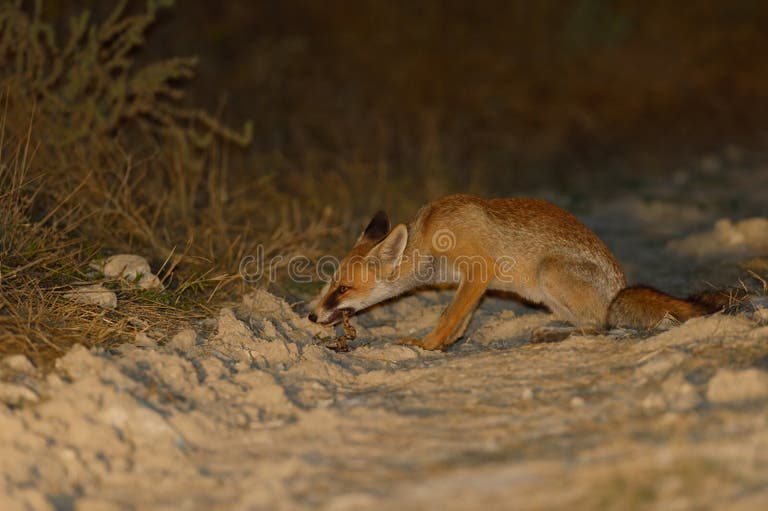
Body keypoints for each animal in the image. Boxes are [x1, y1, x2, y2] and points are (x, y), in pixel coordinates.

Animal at [308, 194, 732, 350]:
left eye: (343, 289)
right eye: (328, 284)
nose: (310, 315)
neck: (429, 235)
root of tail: (619, 289)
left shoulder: (478, 270)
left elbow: (449, 315)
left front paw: (428, 345)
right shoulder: (472, 283)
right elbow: (461, 318)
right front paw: (449, 343)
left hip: (550, 272)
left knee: (600, 325)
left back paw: (551, 335)